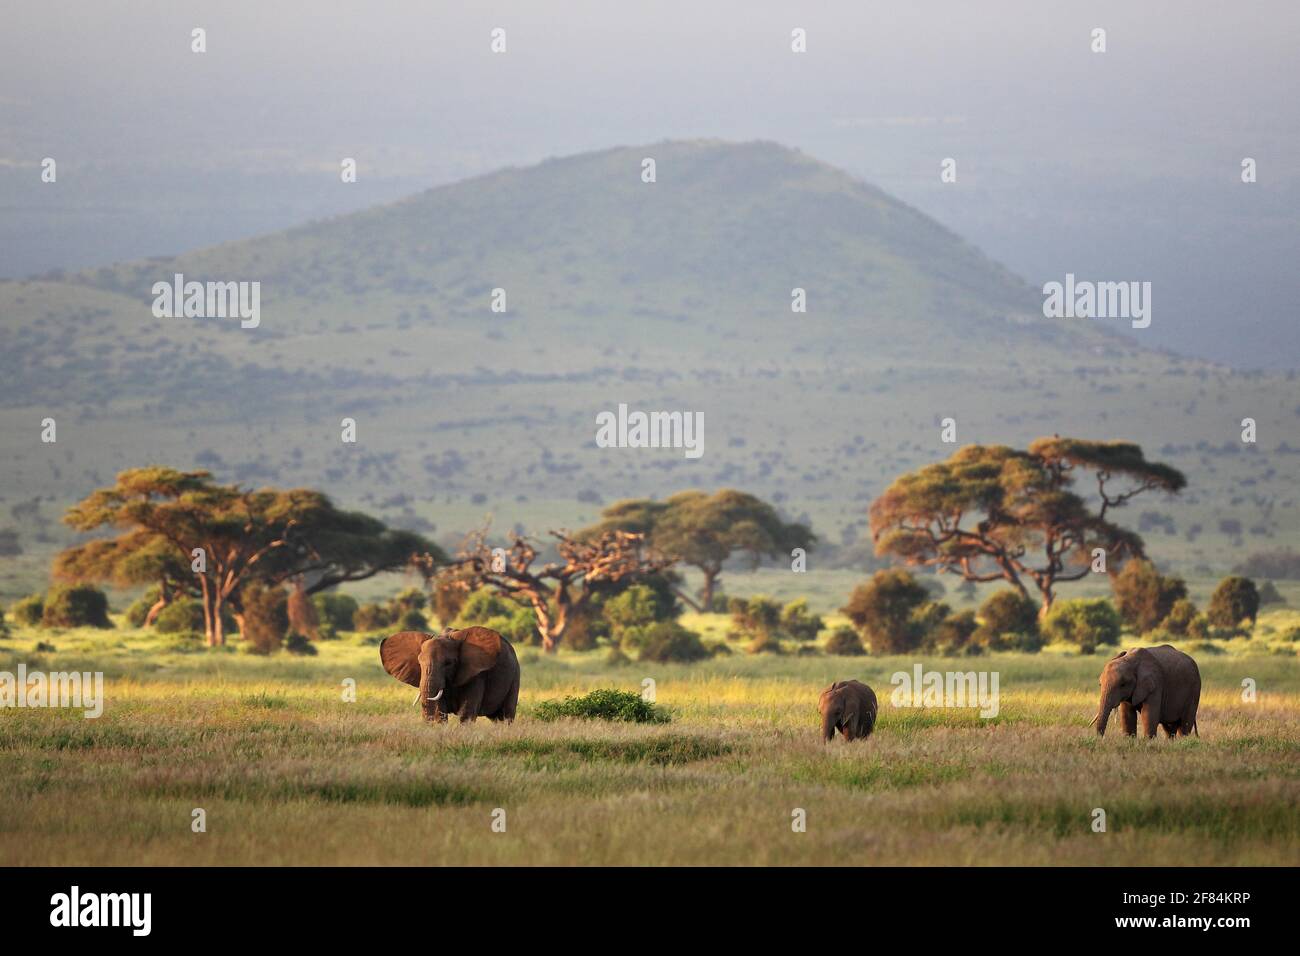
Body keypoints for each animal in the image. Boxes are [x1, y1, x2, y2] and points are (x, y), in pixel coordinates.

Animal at [380, 626, 520, 723]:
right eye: (419, 663)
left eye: (449, 663)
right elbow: (439, 711)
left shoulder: (476, 675)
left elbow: (467, 712)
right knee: (496, 718)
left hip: (515, 676)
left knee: (507, 715)